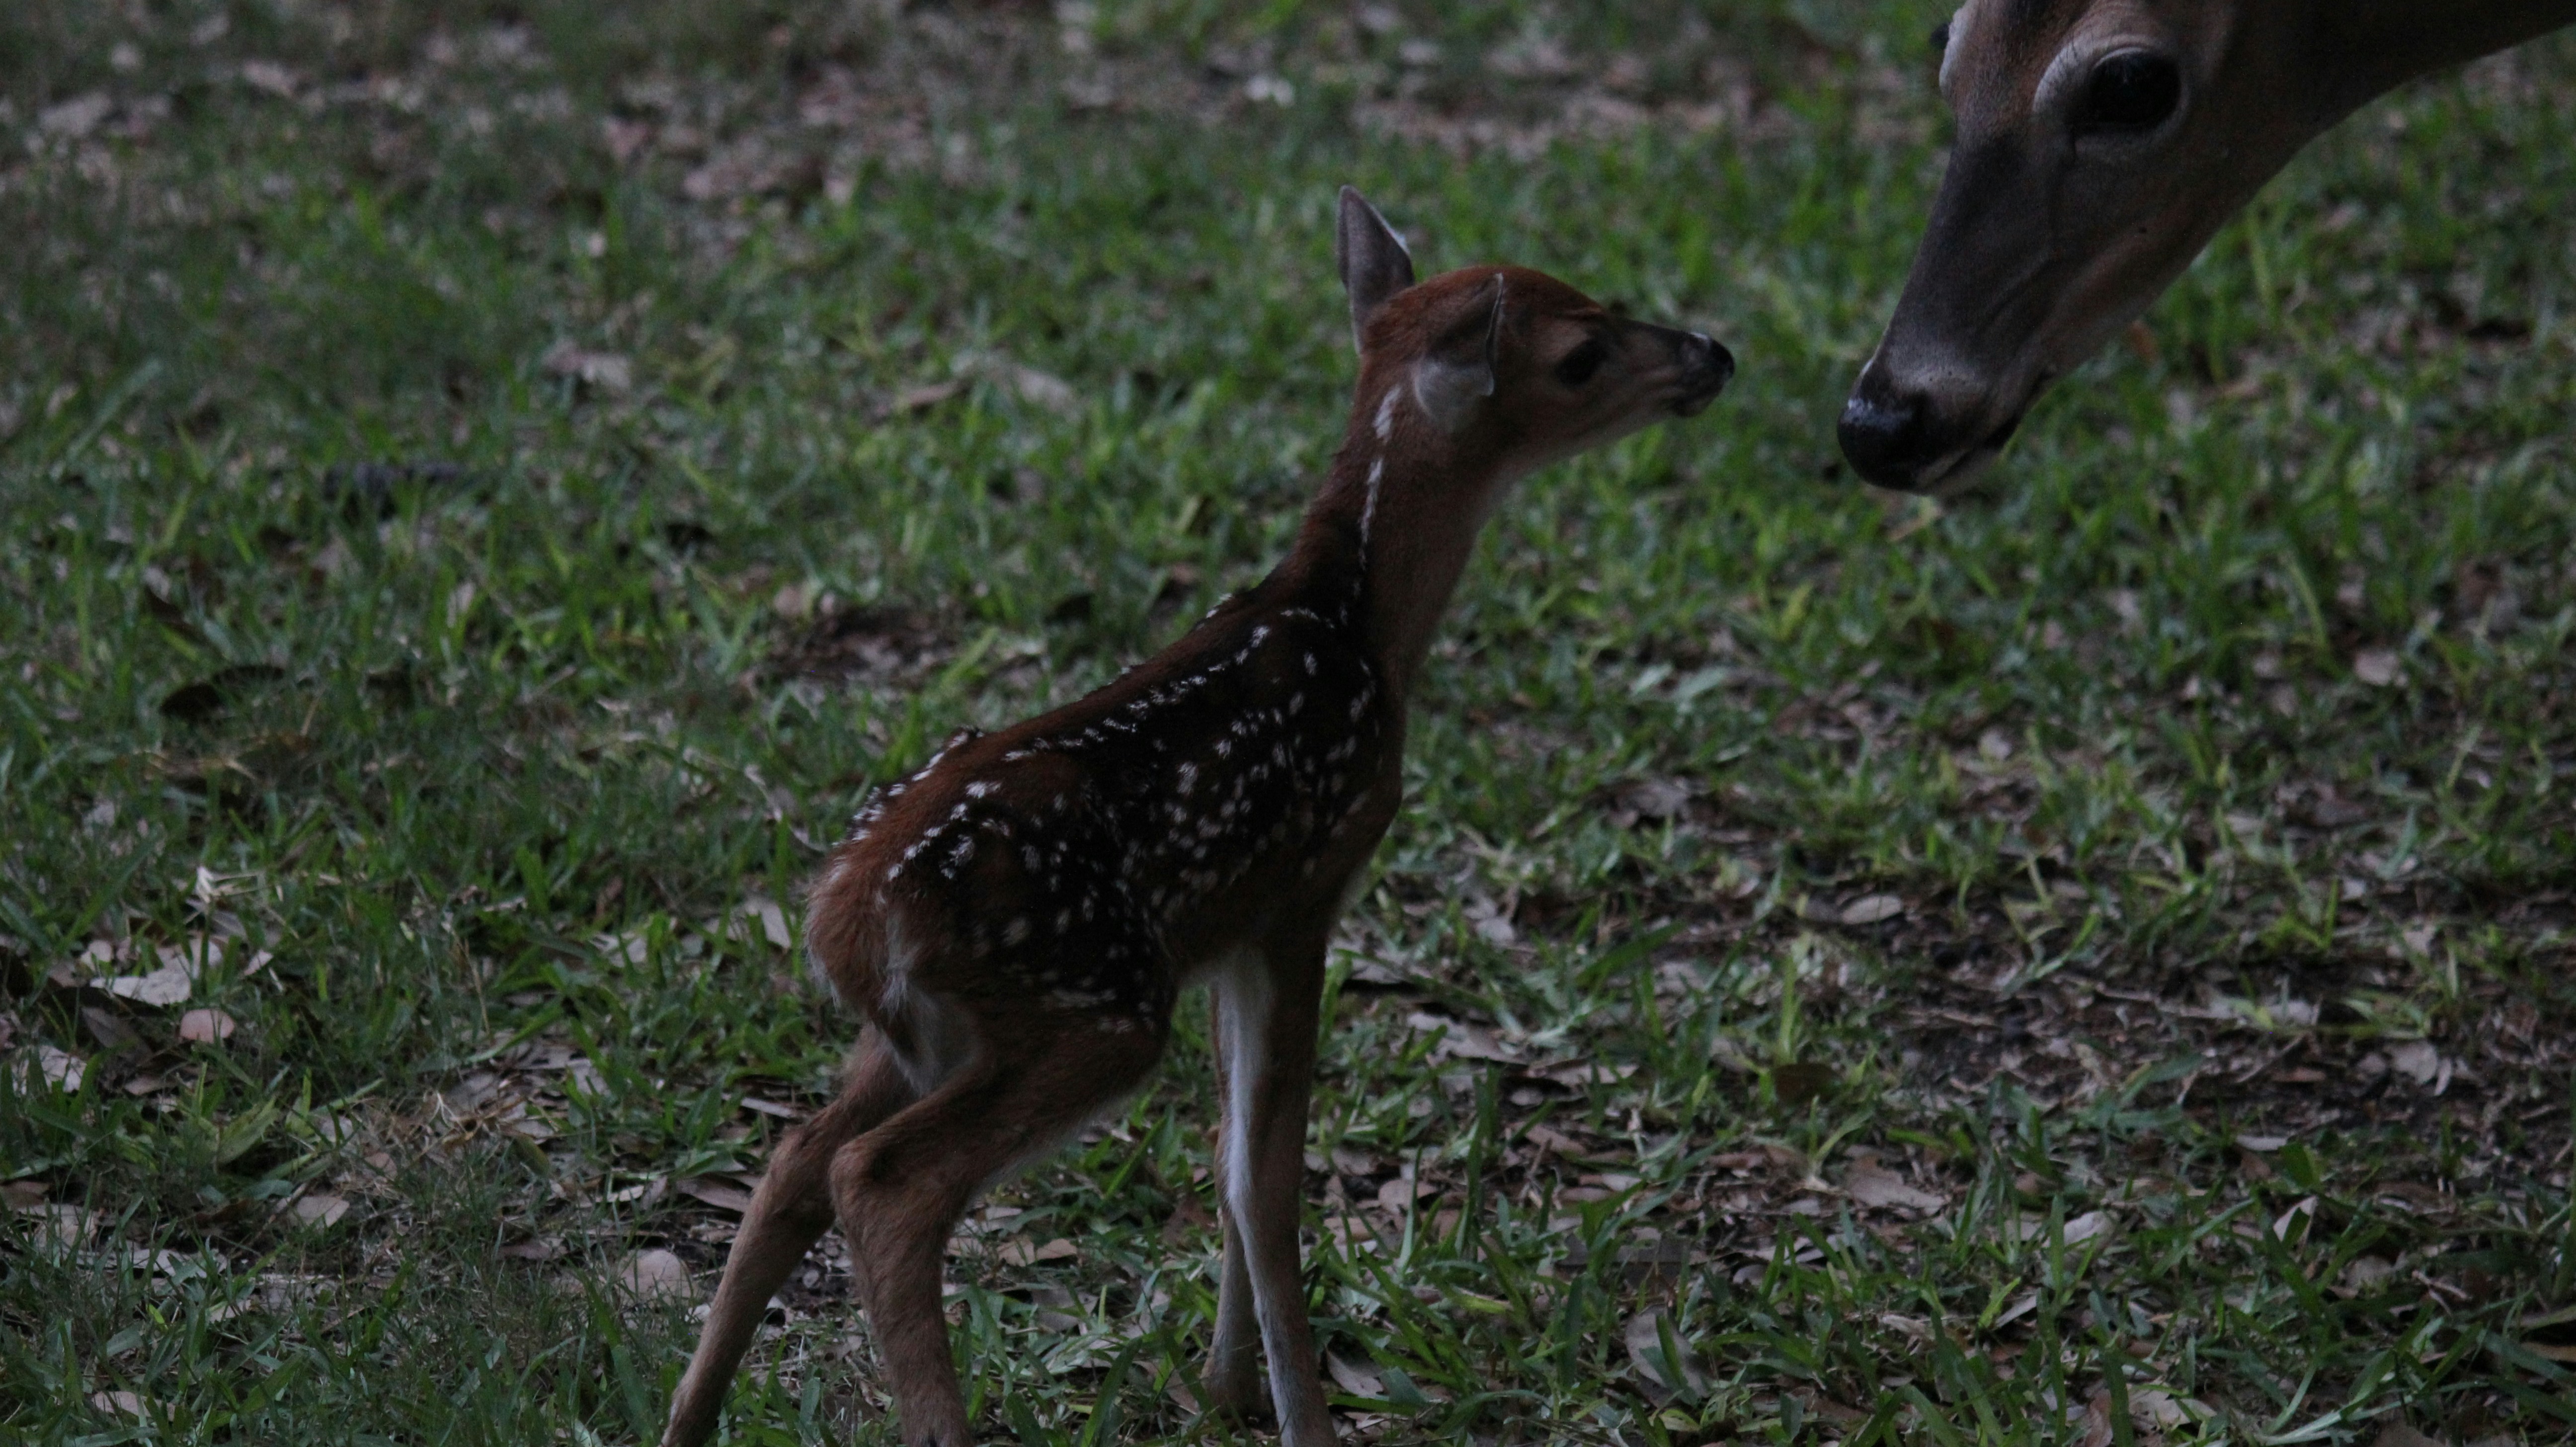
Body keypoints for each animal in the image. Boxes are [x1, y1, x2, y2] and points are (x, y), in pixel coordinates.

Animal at [656, 187, 1732, 1447]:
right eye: (1581, 353)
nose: (1711, 354)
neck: (1360, 627)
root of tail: (842, 914)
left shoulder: (1219, 928)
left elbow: (1225, 1164)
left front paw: (1225, 1388)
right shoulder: (1305, 892)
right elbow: (1264, 1179)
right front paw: (1303, 1418)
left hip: (930, 1033)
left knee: (793, 1158)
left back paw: (686, 1423)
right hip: (1092, 1006)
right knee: (880, 1183)